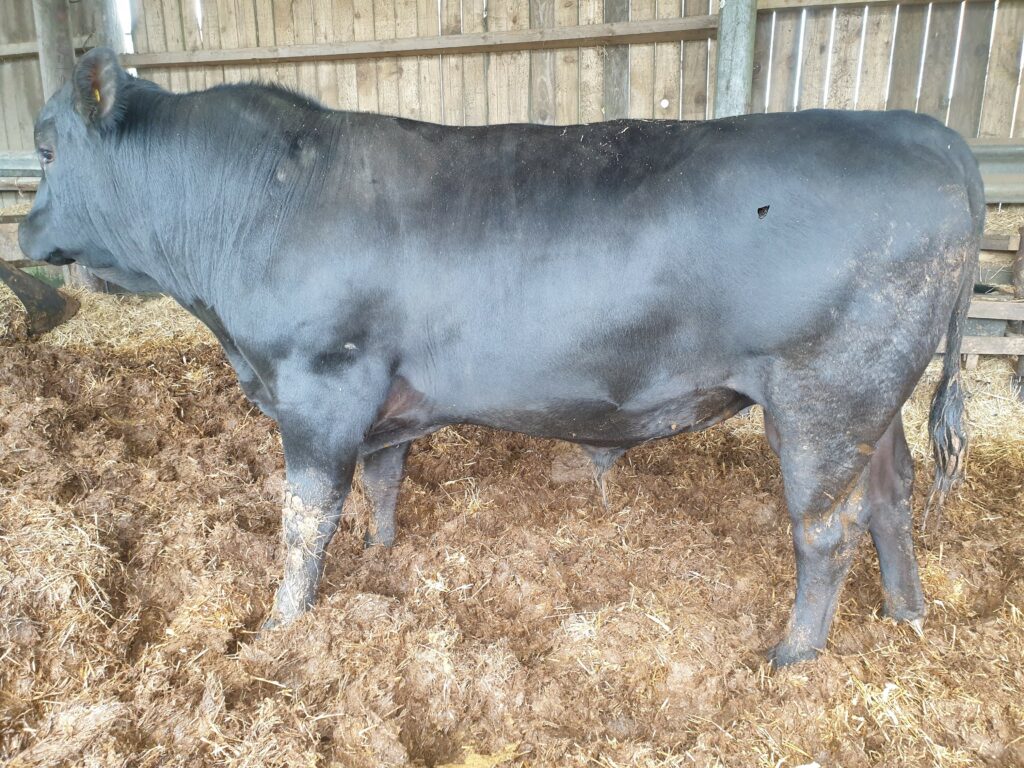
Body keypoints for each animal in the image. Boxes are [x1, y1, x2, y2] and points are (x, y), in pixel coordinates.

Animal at [19, 48, 980, 666]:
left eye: (45, 146)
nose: (23, 230)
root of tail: (924, 130)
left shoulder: (320, 383)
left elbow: (303, 520)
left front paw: (283, 626)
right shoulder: (380, 397)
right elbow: (384, 479)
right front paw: (380, 552)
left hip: (826, 393)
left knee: (826, 529)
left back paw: (793, 654)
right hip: (876, 395)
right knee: (890, 495)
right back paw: (907, 613)